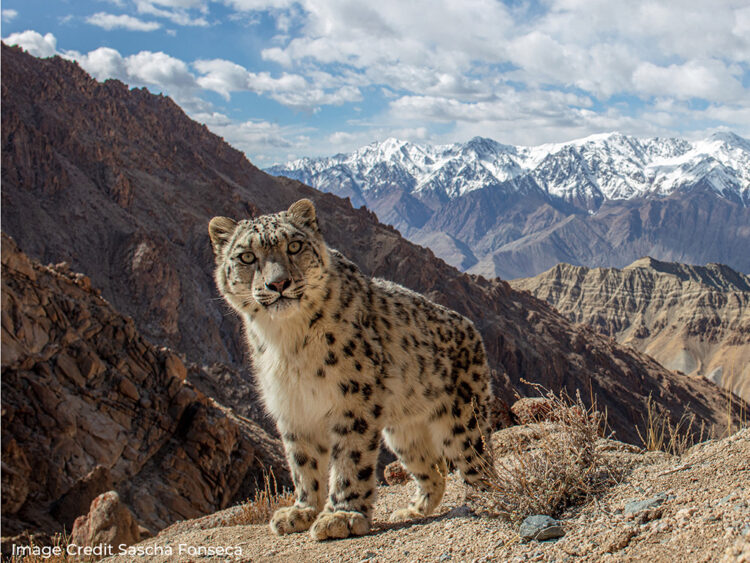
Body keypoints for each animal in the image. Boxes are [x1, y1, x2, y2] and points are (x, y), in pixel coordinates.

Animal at [209, 198, 493, 541]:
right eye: (247, 257)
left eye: (294, 246)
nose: (277, 284)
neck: (287, 341)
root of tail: (471, 328)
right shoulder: (292, 407)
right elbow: (302, 462)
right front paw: (301, 511)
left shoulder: (353, 399)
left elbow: (349, 458)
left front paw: (341, 516)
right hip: (403, 433)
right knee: (433, 468)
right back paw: (412, 510)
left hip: (463, 419)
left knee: (478, 461)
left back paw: (485, 499)